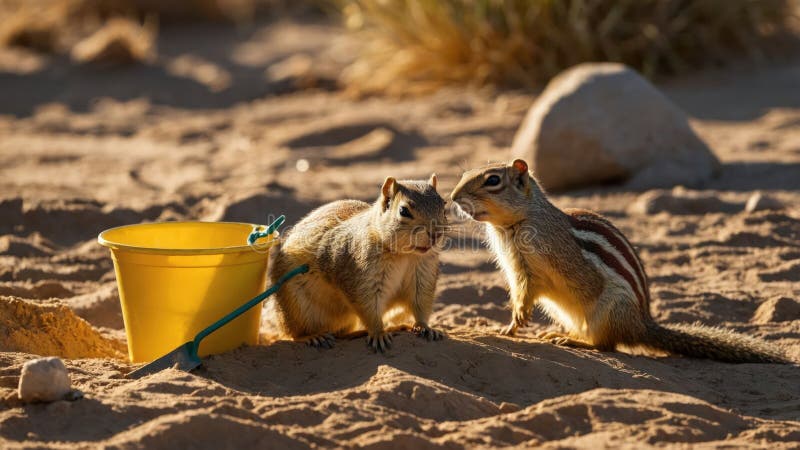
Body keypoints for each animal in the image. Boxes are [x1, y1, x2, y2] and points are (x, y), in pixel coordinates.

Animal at [268, 174, 447, 352]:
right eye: (403, 211)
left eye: (443, 206)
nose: (436, 234)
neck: (405, 255)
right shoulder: (361, 279)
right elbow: (369, 308)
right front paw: (378, 334)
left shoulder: (422, 276)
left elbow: (421, 304)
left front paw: (425, 327)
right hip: (296, 307)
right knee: (293, 334)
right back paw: (314, 336)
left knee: (340, 333)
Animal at [449, 159, 790, 364]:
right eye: (464, 174)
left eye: (493, 180)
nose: (453, 197)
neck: (519, 222)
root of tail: (642, 324)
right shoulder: (517, 269)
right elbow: (520, 292)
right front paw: (513, 322)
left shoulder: (550, 263)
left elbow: (553, 288)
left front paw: (516, 322)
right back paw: (562, 334)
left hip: (608, 310)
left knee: (607, 345)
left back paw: (576, 342)